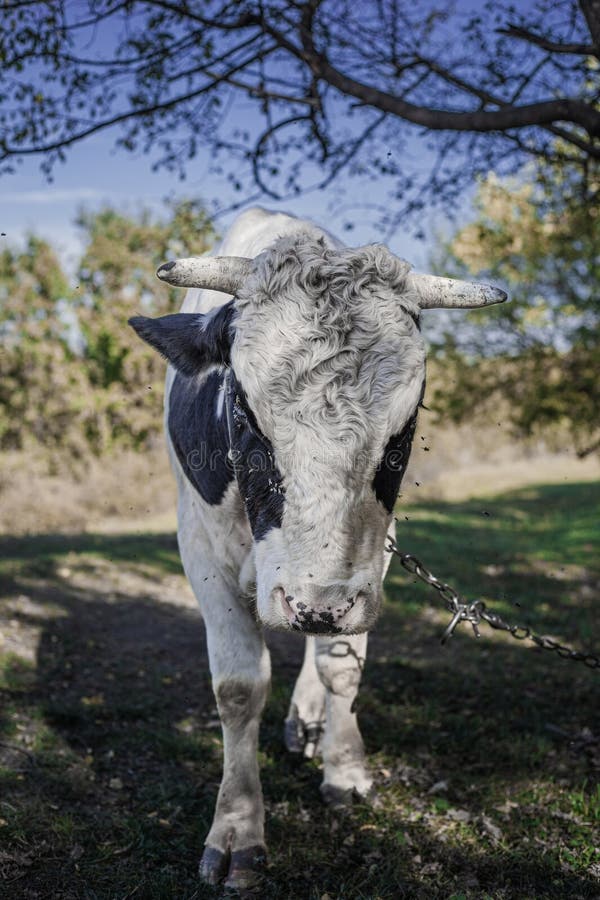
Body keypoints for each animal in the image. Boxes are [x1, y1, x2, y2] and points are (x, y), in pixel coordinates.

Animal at [129, 207, 506, 890]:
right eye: (243, 408)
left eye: (406, 424)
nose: (314, 602)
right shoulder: (198, 548)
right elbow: (239, 687)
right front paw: (237, 827)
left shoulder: (370, 560)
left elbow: (340, 665)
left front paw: (345, 768)